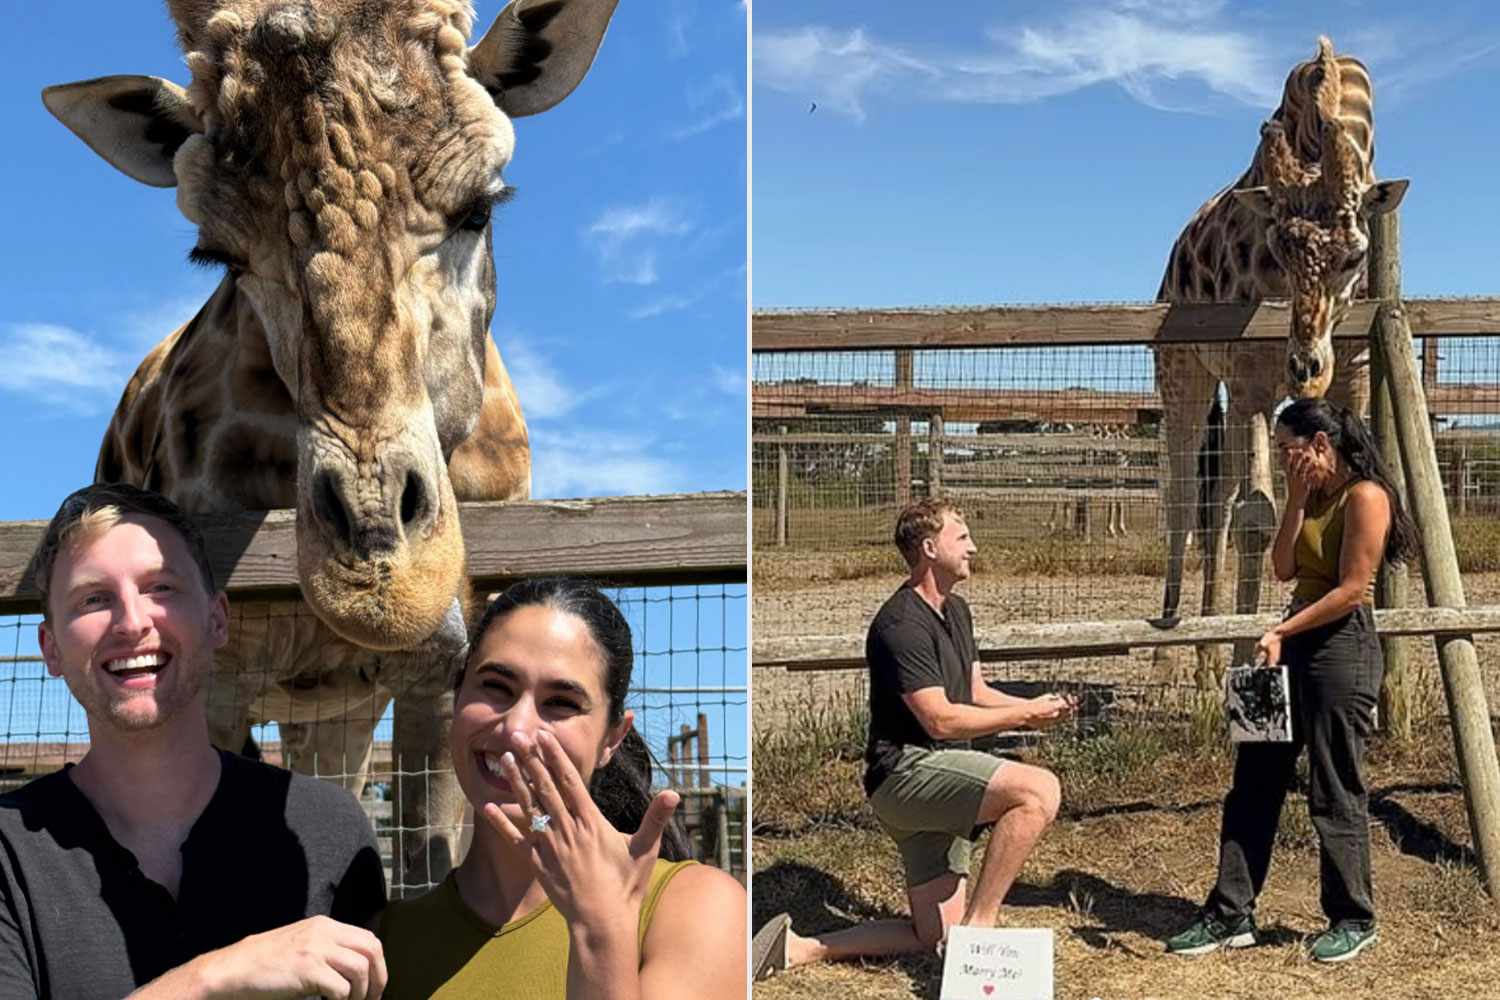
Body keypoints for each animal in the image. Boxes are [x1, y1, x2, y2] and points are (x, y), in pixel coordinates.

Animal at [42, 0, 619, 892]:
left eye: (481, 208)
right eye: (219, 255)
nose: (382, 582)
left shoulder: (446, 677)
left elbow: (427, 858)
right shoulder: (221, 681)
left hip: (339, 707)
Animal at [1153, 37, 1408, 681]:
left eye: (1356, 255)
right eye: (1279, 248)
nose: (1305, 369)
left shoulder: (1354, 375)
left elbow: (1359, 492)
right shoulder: (1251, 377)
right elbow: (1259, 516)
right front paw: (1249, 657)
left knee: (1213, 503)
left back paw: (1204, 657)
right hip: (1181, 370)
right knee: (1185, 500)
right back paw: (1169, 652)